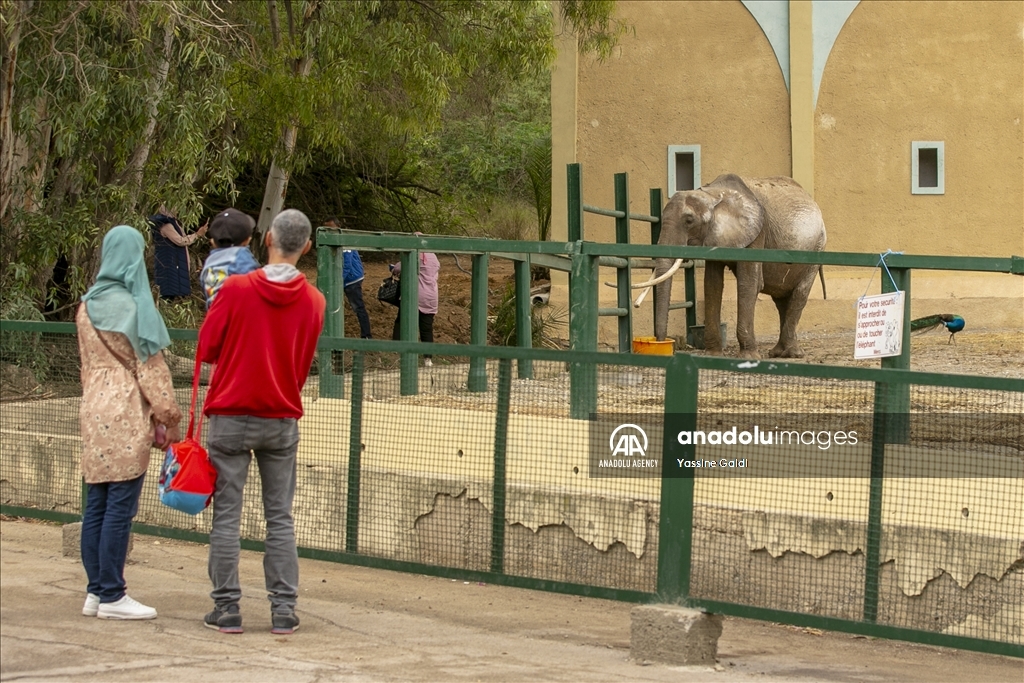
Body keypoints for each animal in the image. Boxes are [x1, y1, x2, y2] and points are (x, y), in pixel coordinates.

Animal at [635, 174, 826, 359]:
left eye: (689, 220)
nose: (661, 342)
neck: (714, 194)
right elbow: (712, 284)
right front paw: (713, 355)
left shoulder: (757, 233)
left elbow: (749, 283)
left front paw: (749, 357)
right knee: (780, 299)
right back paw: (778, 353)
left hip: (818, 247)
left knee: (799, 294)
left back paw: (792, 354)